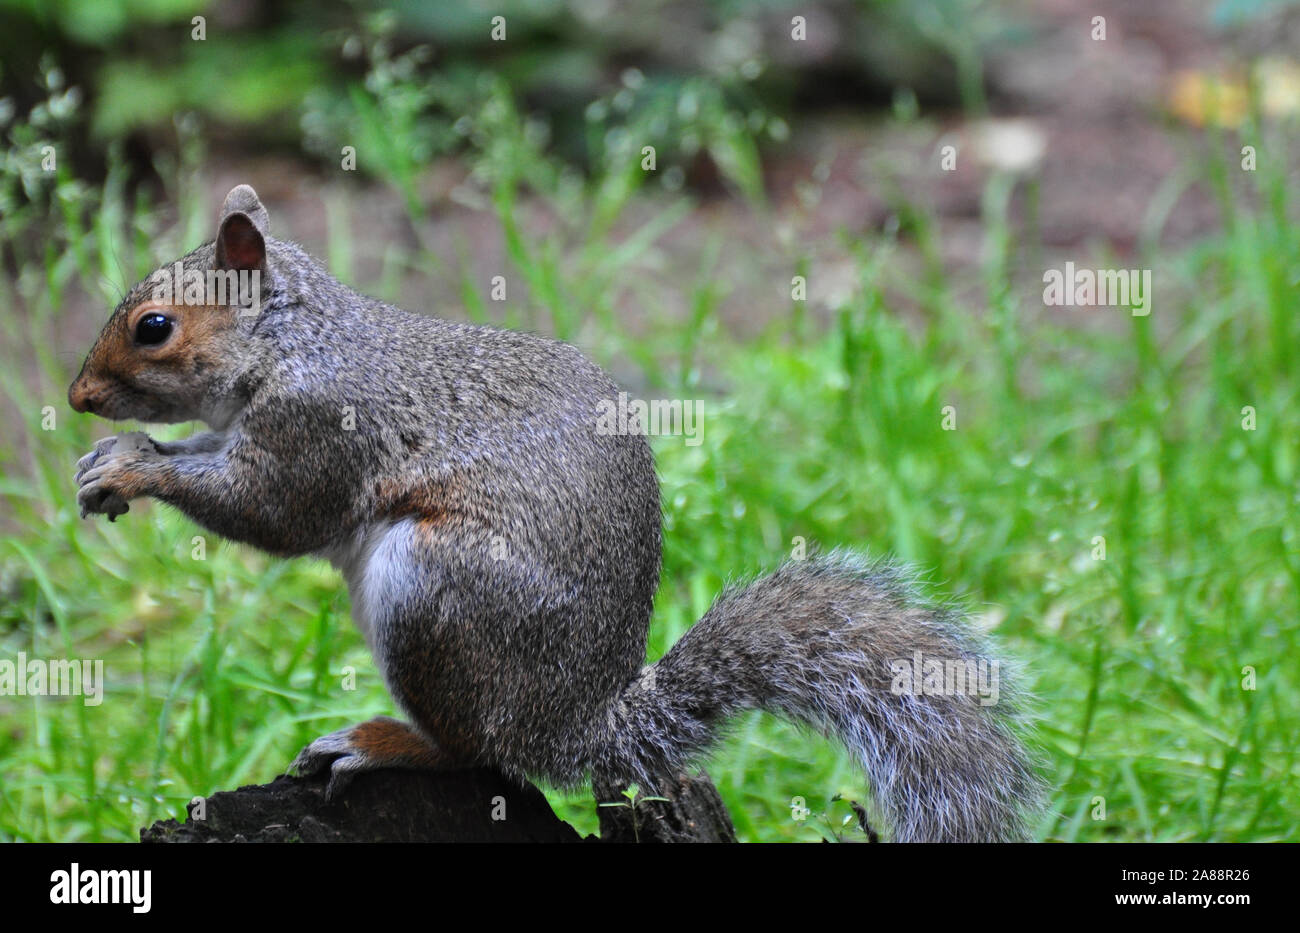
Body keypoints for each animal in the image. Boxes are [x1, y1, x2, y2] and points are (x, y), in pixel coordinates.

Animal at [68, 184, 1041, 842]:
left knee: (479, 749)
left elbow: (271, 512)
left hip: (437, 591)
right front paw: (110, 465)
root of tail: (575, 723)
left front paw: (136, 466)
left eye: (154, 326)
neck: (293, 343)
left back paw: (384, 739)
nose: (78, 397)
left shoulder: (318, 428)